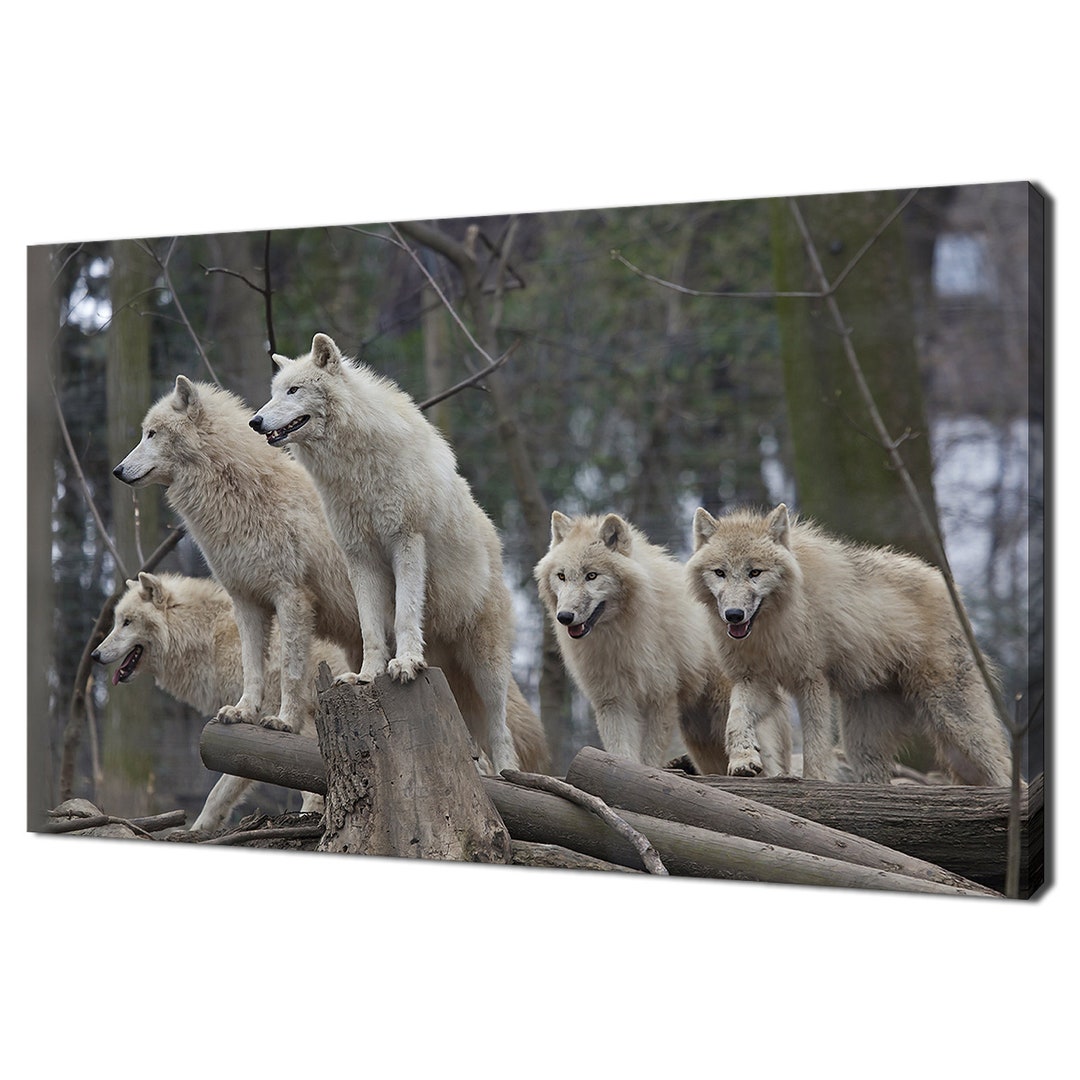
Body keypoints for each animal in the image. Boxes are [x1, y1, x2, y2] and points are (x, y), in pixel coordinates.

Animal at [91, 572, 348, 830]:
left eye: (127, 622)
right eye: (117, 621)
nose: (95, 654)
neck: (211, 638)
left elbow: (313, 792)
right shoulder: (248, 737)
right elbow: (216, 796)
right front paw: (199, 829)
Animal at [113, 376, 364, 738]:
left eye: (152, 433)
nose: (117, 470)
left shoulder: (291, 596)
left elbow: (290, 668)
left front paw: (284, 721)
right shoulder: (246, 600)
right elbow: (251, 666)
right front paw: (242, 711)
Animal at [250, 332, 521, 773]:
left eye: (294, 390)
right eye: (273, 393)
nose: (255, 422)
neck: (353, 470)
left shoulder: (405, 541)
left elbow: (406, 613)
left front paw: (405, 663)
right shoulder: (359, 556)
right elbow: (372, 628)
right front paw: (367, 674)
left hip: (487, 664)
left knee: (501, 727)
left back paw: (508, 772)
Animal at [534, 511, 791, 775]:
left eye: (591, 576)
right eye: (562, 576)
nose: (564, 616)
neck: (619, 634)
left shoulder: (659, 699)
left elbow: (649, 755)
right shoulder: (613, 701)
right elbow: (621, 751)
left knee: (774, 766)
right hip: (702, 741)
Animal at [686, 503, 1013, 785]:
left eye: (755, 572)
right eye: (720, 573)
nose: (733, 615)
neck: (772, 626)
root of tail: (947, 584)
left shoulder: (812, 680)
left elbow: (816, 745)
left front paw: (815, 780)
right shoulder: (754, 680)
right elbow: (736, 718)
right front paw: (743, 760)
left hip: (954, 720)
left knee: (1003, 772)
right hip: (863, 739)